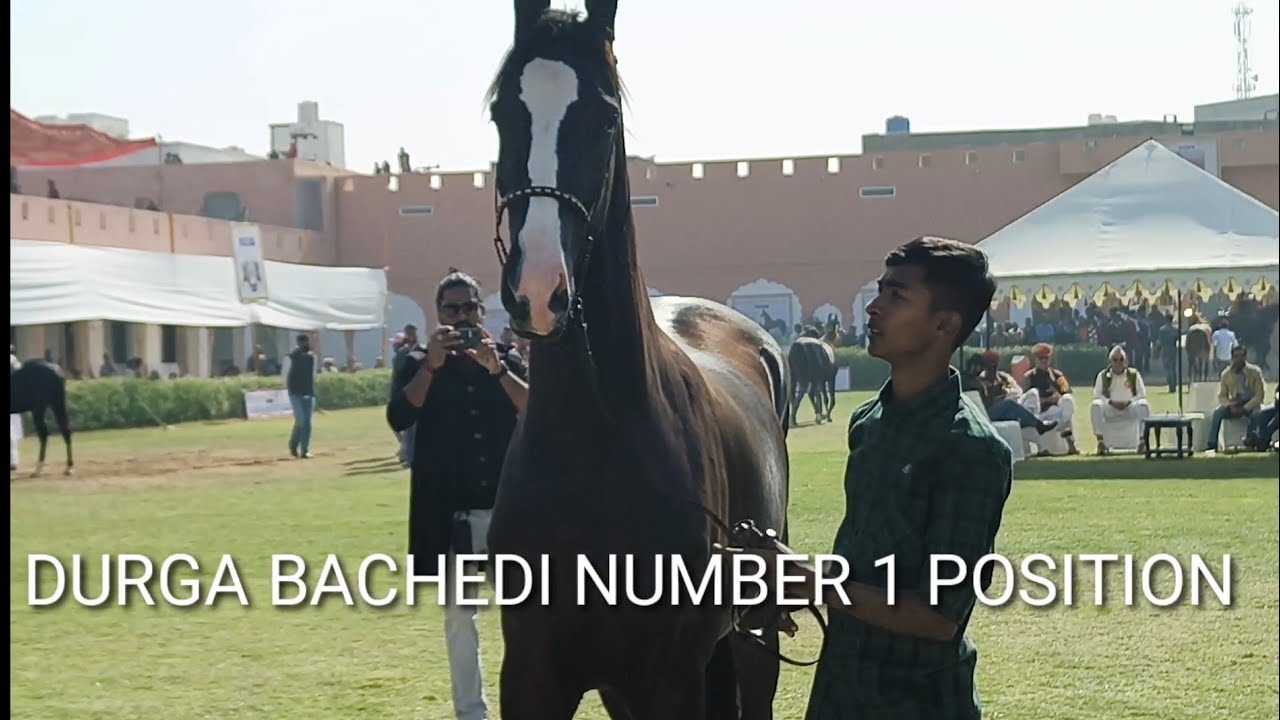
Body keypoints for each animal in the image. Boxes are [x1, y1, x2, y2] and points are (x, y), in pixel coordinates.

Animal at [484, 2, 793, 717]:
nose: (537, 290)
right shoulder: (534, 677)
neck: (592, 445)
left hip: (755, 631)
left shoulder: (669, 678)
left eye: (603, 119)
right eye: (503, 113)